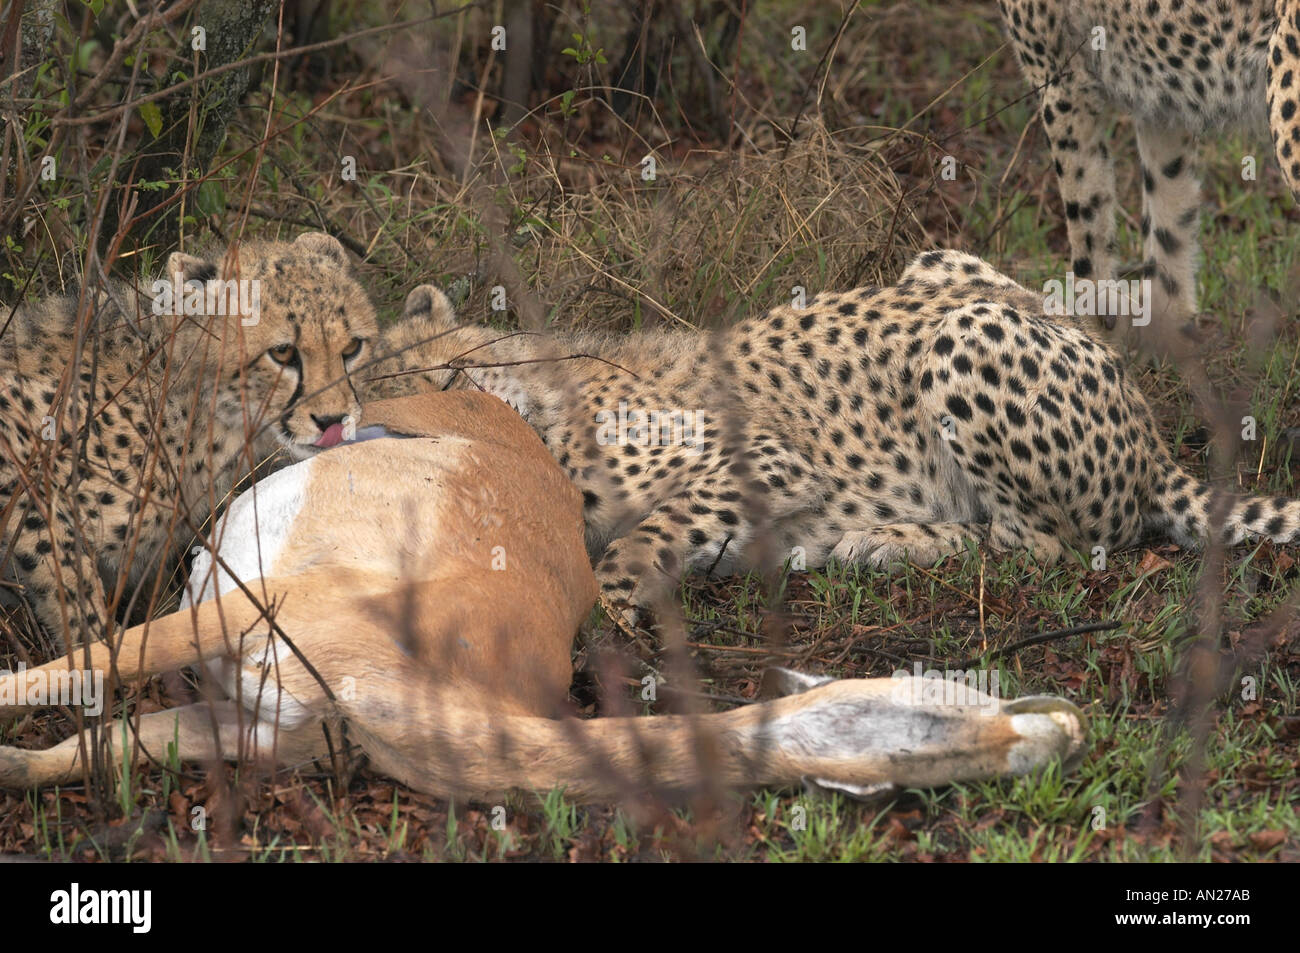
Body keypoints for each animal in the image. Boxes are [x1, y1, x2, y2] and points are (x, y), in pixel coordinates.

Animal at [364, 248, 1300, 624]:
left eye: (443, 379)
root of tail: (1149, 431)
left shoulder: (761, 456)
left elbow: (644, 535)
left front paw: (621, 602)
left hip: (964, 330)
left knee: (1045, 545)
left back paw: (881, 542)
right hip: (940, 264)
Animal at [997, 0, 1300, 337]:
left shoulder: (1063, 81)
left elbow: (1087, 223)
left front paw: (1093, 330)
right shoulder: (1162, 103)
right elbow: (1169, 214)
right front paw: (1168, 327)